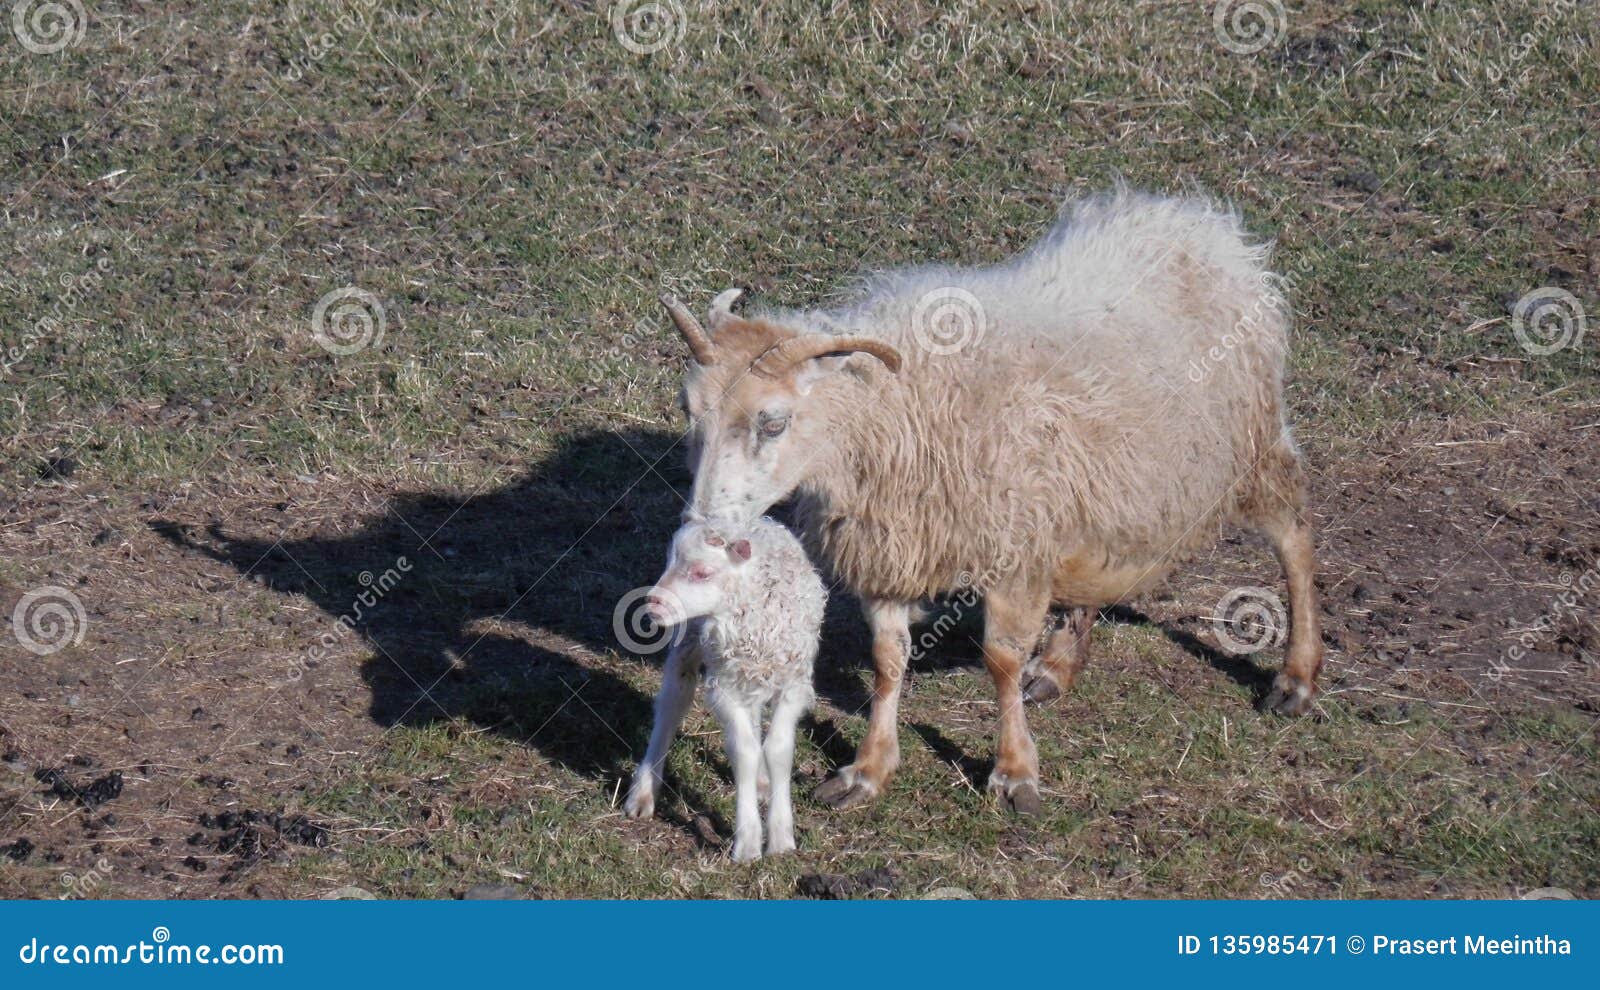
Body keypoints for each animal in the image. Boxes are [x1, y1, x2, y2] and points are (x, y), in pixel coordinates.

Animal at [623, 516, 826, 861]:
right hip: (689, 642)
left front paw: (781, 839)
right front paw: (748, 844)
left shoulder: (793, 686)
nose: (652, 605)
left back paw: (762, 782)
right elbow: (743, 751)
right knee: (672, 706)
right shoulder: (725, 688)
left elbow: (778, 749)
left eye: (703, 572)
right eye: (669, 562)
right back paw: (643, 793)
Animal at [656, 187, 1325, 815]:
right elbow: (887, 660)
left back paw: (1297, 677)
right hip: (1101, 490)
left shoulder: (1015, 551)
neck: (894, 412)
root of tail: (1196, 222)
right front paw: (868, 770)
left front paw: (1014, 771)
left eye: (772, 422)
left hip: (1252, 444)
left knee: (1294, 534)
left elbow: (1001, 661)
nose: (704, 525)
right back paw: (1058, 664)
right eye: (690, 411)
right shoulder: (894, 549)